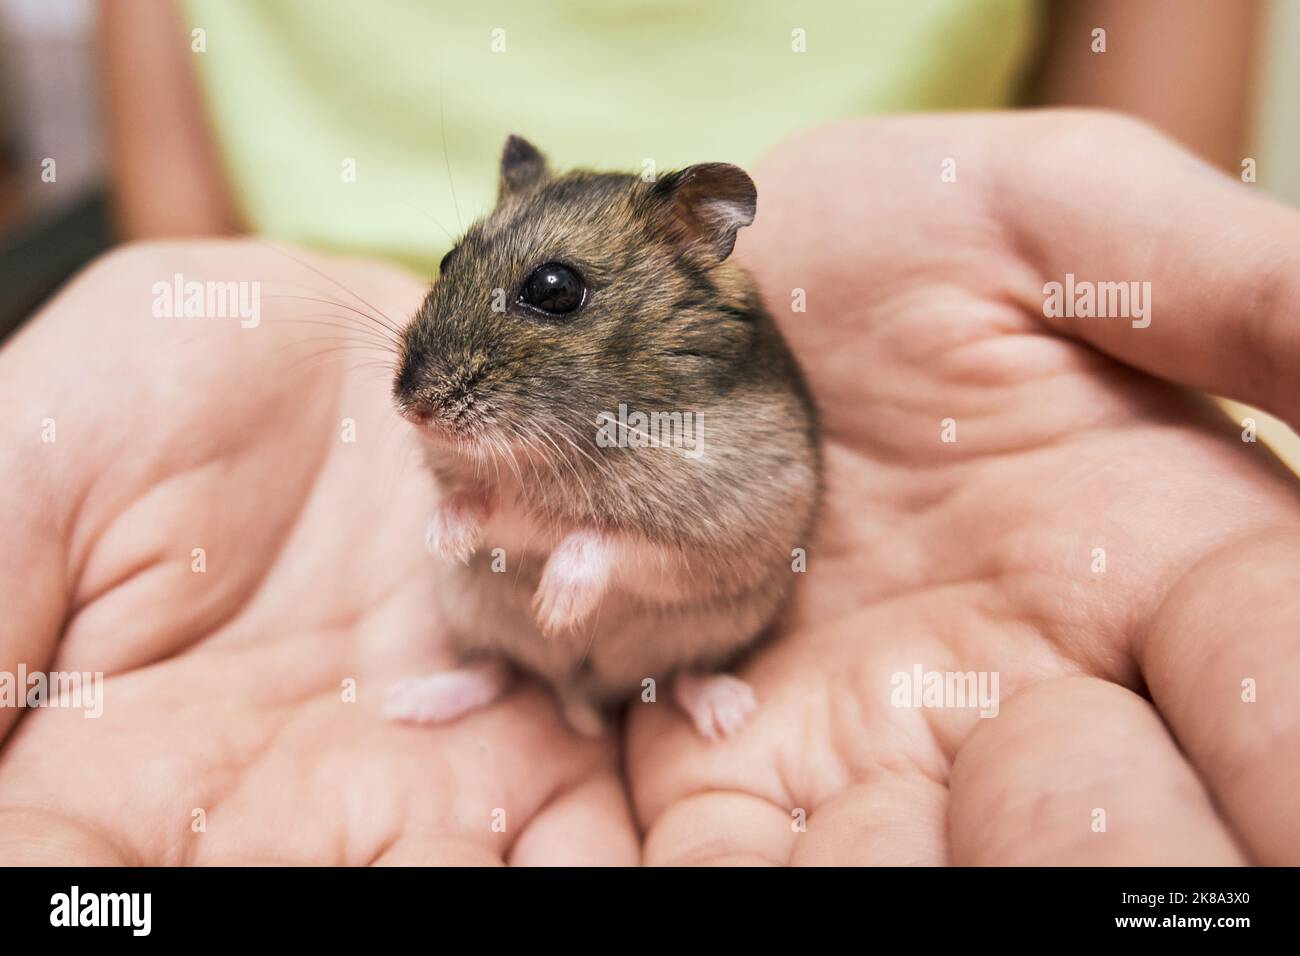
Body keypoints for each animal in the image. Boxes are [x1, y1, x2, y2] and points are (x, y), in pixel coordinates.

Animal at [384, 135, 820, 740]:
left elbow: (609, 540)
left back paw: (728, 712)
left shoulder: (717, 538)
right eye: (448, 260)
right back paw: (411, 701)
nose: (412, 407)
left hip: (718, 626)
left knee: (683, 674)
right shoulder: (505, 518)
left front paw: (553, 609)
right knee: (496, 669)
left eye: (555, 288)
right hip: (472, 612)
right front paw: (446, 542)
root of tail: (584, 696)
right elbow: (479, 504)